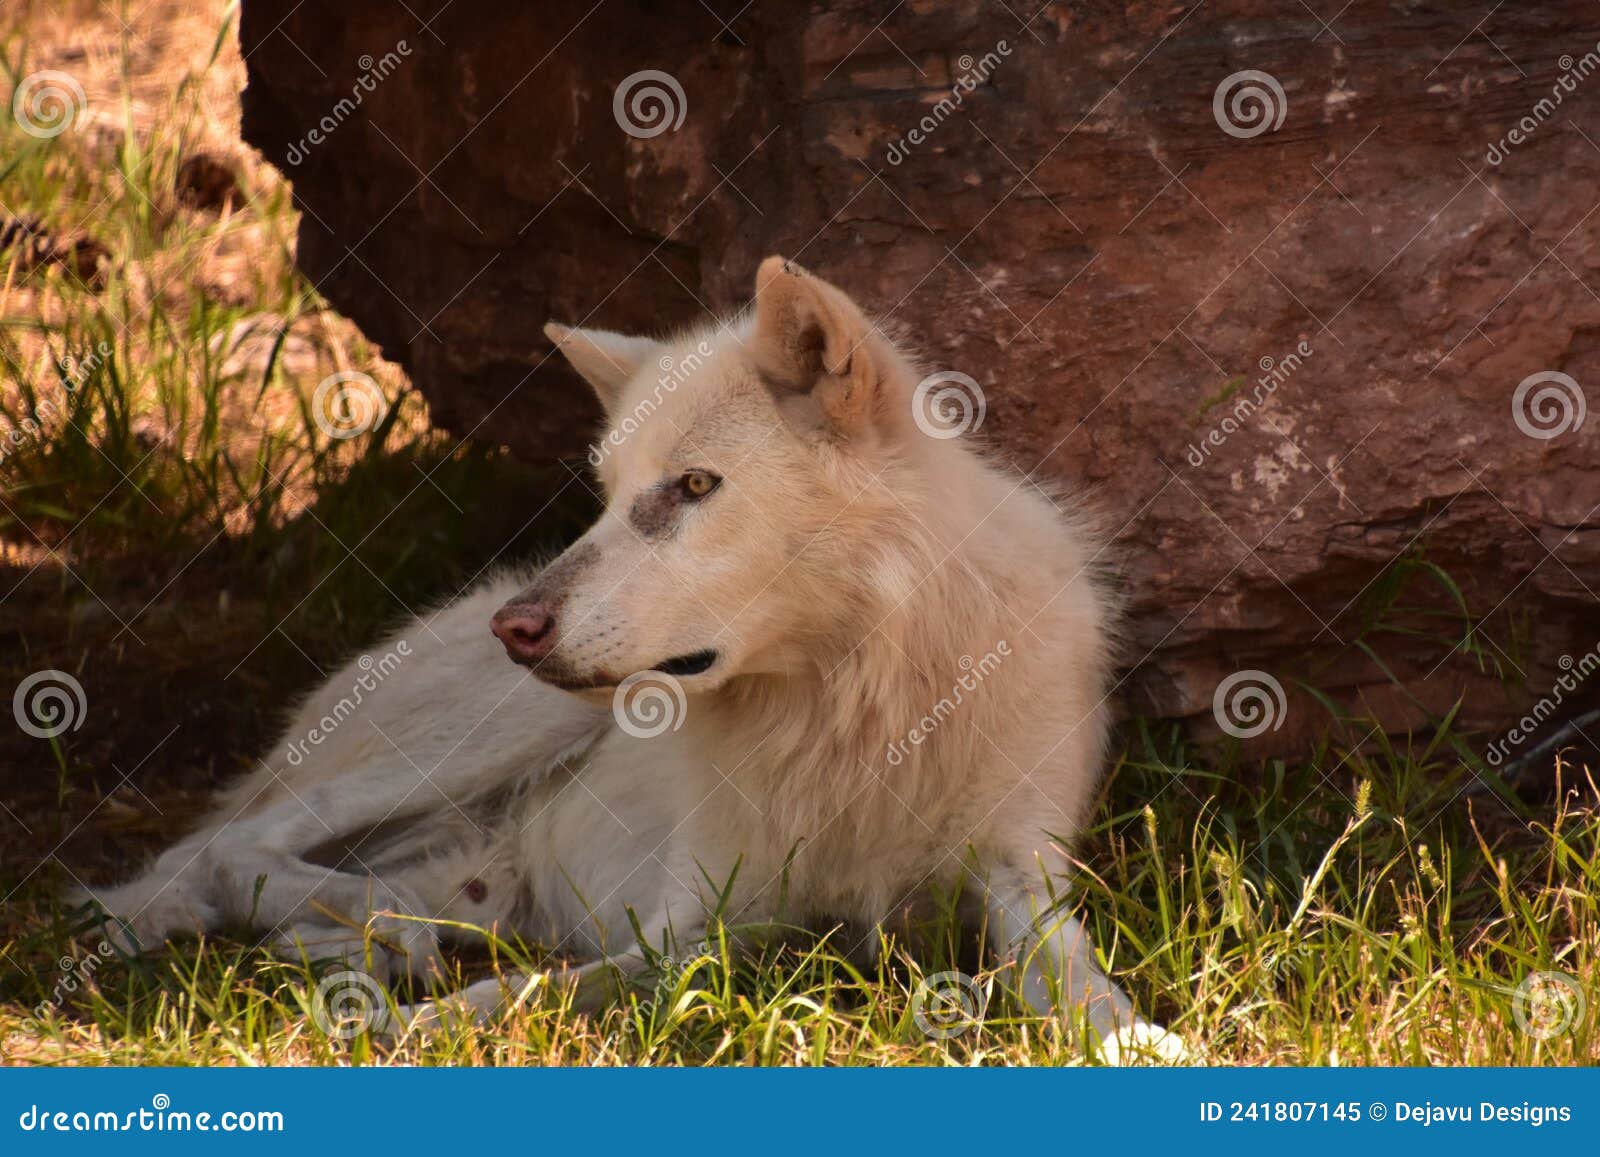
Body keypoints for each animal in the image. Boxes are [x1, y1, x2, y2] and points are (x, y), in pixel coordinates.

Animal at [89, 257, 1175, 1055]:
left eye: (693, 485)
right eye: (607, 496)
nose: (517, 626)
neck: (850, 704)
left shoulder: (1022, 875)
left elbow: (1076, 974)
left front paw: (1136, 1037)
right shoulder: (691, 923)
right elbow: (535, 992)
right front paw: (415, 1026)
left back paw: (381, 933)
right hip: (502, 727)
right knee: (230, 847)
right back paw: (381, 936)